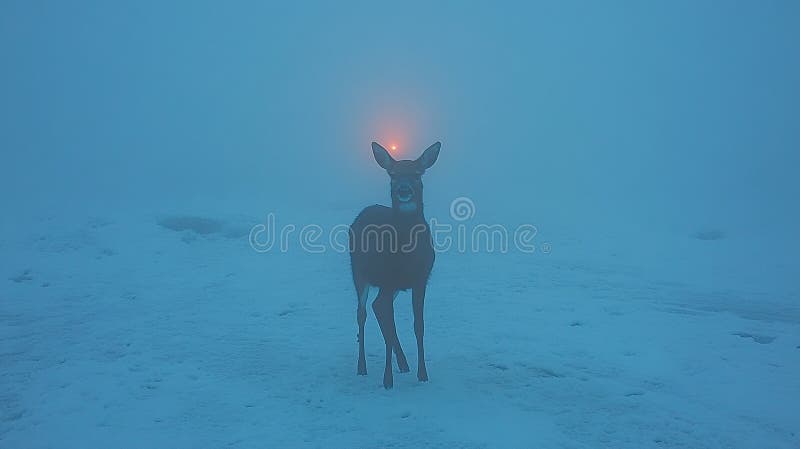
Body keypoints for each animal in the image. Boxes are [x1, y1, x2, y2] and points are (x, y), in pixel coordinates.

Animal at [349, 141, 441, 389]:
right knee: (362, 313)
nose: (404, 189)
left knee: (377, 307)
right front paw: (387, 379)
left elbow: (419, 326)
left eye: (418, 173)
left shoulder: (421, 280)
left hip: (392, 286)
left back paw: (403, 363)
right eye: (392, 174)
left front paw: (423, 374)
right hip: (359, 273)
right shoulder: (388, 278)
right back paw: (361, 367)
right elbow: (390, 327)